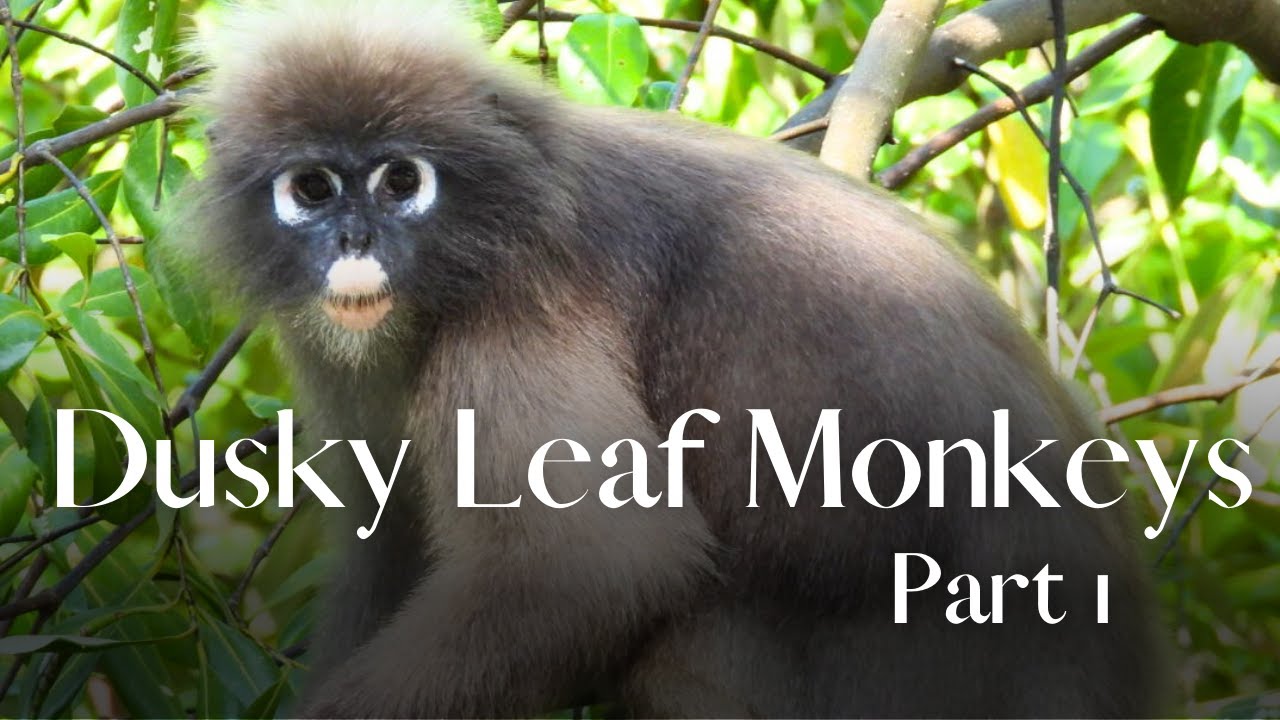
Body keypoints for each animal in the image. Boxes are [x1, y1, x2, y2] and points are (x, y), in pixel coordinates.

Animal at [169, 0, 1173, 716]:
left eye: (400, 181)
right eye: (311, 187)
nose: (354, 240)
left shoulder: (523, 313)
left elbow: (597, 559)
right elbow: (390, 544)